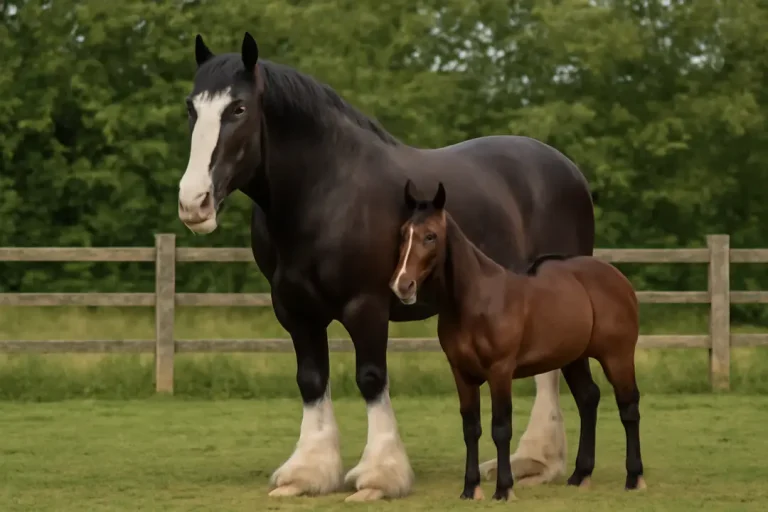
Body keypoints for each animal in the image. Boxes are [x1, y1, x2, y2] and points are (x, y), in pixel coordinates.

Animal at [177, 32, 596, 502]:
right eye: (191, 107)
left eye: (238, 108)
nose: (194, 203)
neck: (325, 191)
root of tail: (567, 169)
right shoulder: (294, 309)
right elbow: (311, 380)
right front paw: (307, 473)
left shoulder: (368, 305)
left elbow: (371, 379)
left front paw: (380, 475)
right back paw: (535, 463)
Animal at [389, 180, 645, 501]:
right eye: (403, 233)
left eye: (430, 236)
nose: (402, 285)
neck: (475, 300)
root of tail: (619, 280)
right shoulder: (462, 373)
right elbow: (470, 428)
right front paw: (470, 488)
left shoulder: (500, 371)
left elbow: (501, 428)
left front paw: (503, 488)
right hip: (575, 359)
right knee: (588, 399)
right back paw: (580, 475)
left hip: (617, 357)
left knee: (628, 407)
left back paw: (634, 477)